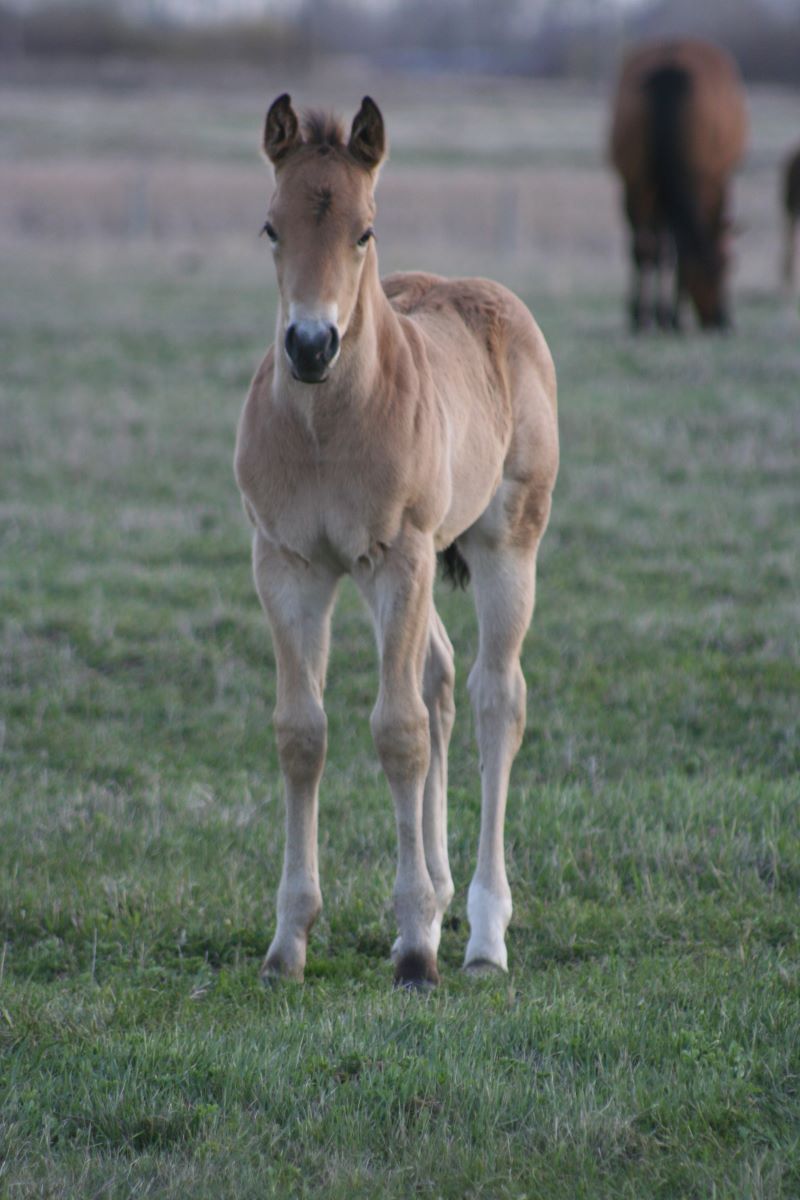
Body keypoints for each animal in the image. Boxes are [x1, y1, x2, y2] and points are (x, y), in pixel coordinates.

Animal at [234, 95, 559, 989]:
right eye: (271, 226)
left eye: (365, 230)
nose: (311, 345)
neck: (323, 428)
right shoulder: (288, 565)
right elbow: (300, 733)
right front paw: (289, 943)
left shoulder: (399, 558)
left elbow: (398, 732)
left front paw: (416, 948)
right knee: (442, 678)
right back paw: (446, 900)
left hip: (505, 544)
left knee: (493, 698)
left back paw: (481, 934)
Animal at [609, 38, 748, 331]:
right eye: (728, 264)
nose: (721, 320)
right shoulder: (713, 182)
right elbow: (669, 251)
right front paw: (663, 316)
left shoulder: (642, 183)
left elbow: (658, 250)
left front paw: (659, 316)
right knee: (658, 246)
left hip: (643, 181)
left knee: (655, 245)